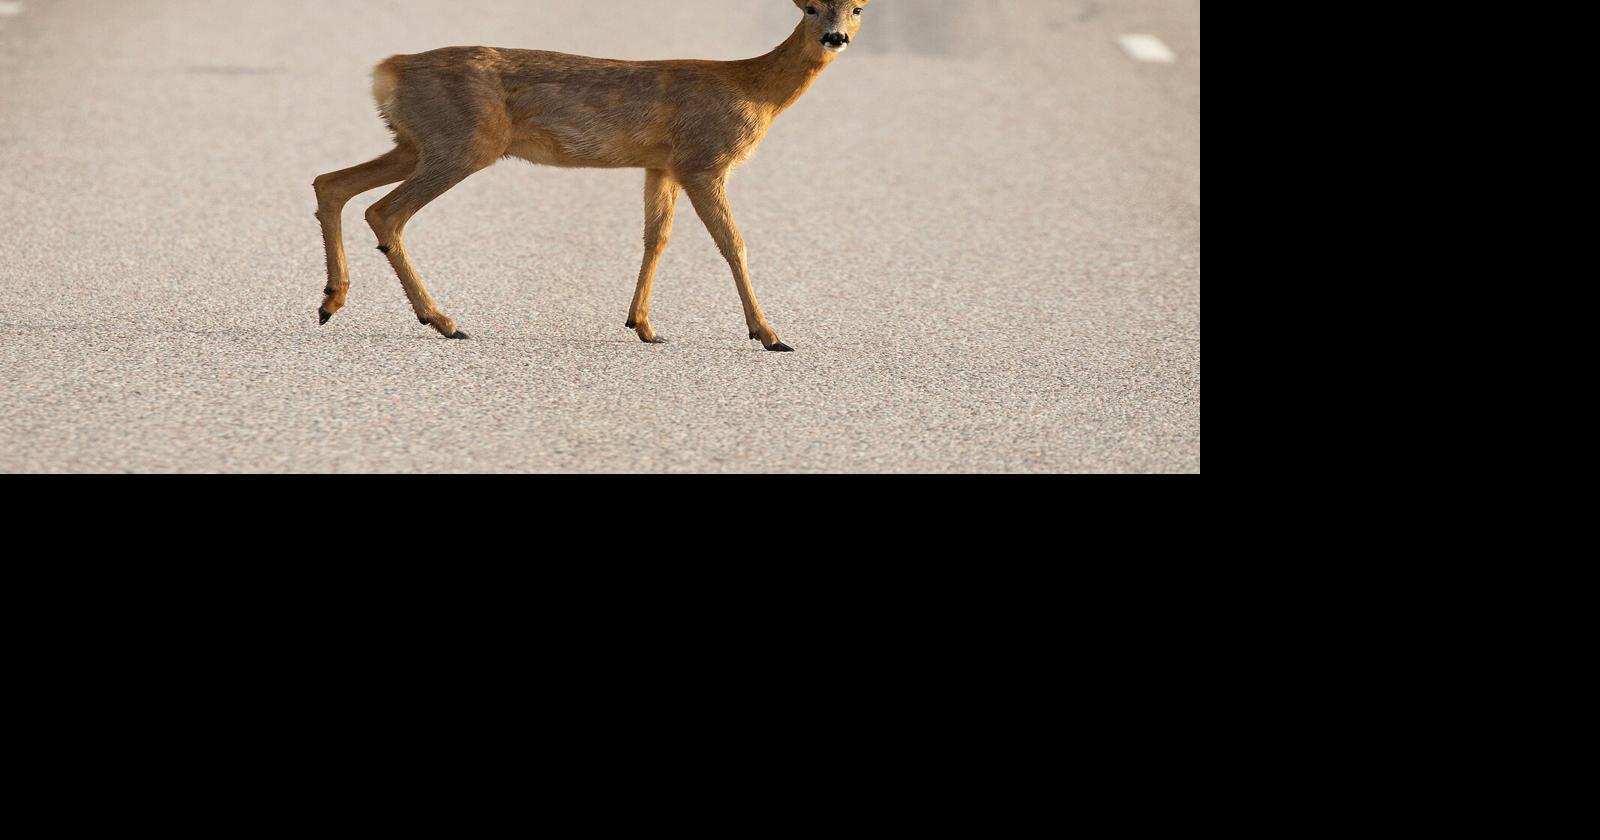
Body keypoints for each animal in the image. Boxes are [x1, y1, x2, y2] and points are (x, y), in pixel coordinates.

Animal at [311, 0, 872, 352]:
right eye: (810, 6)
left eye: (857, 7)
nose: (835, 37)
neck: (755, 89)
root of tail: (388, 71)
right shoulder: (704, 160)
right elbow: (732, 242)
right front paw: (770, 335)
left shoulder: (660, 165)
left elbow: (656, 237)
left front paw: (644, 326)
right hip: (461, 144)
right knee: (384, 211)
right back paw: (443, 322)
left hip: (415, 143)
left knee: (331, 182)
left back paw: (331, 302)